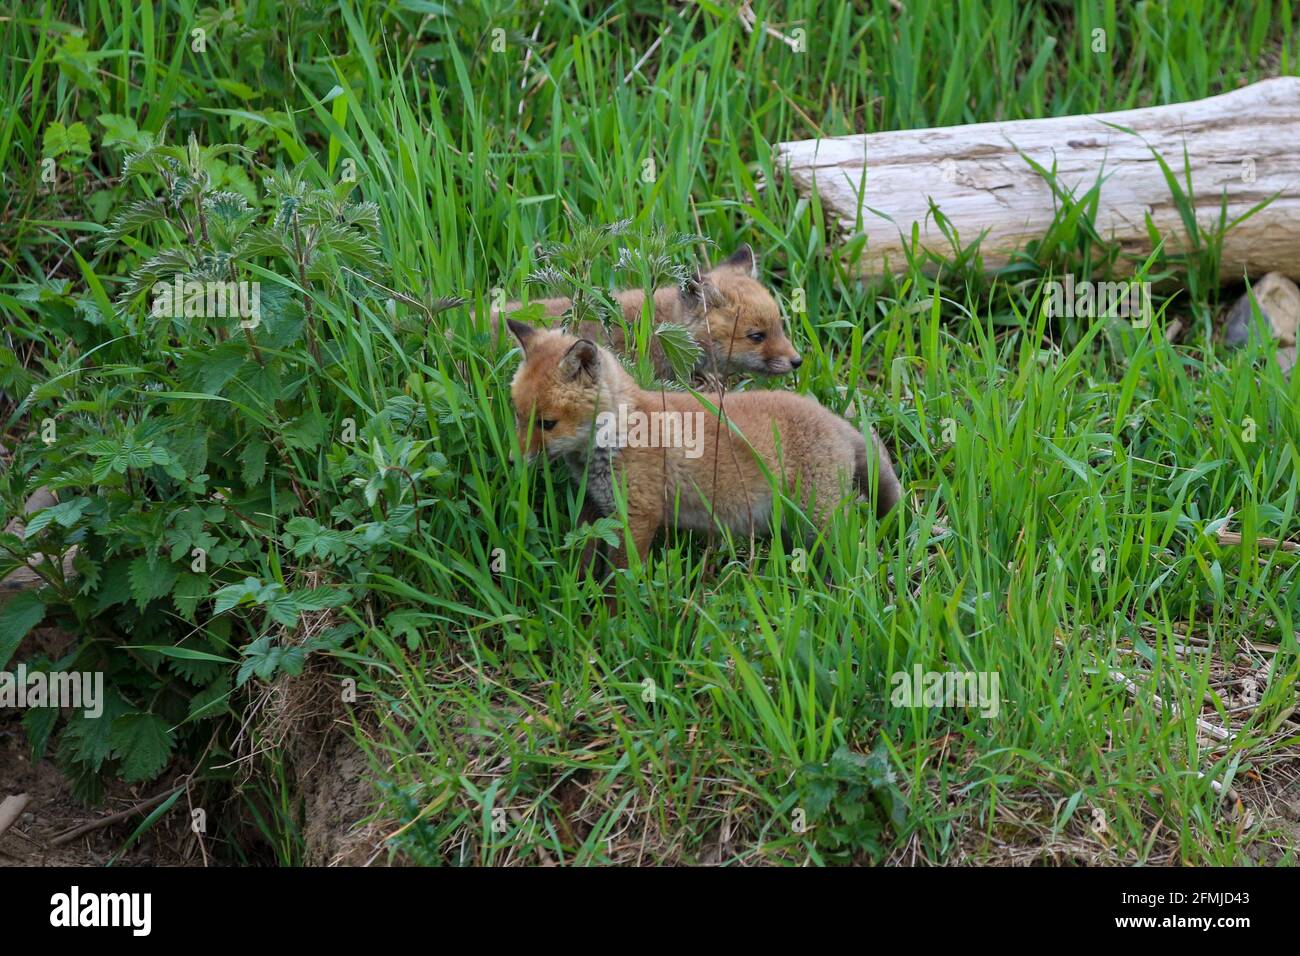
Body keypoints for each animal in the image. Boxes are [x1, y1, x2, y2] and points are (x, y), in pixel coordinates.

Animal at [506, 319, 901, 569]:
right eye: (519, 416)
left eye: (547, 423)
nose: (513, 461)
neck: (621, 433)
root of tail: (835, 420)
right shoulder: (600, 511)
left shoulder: (640, 516)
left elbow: (622, 579)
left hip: (820, 520)